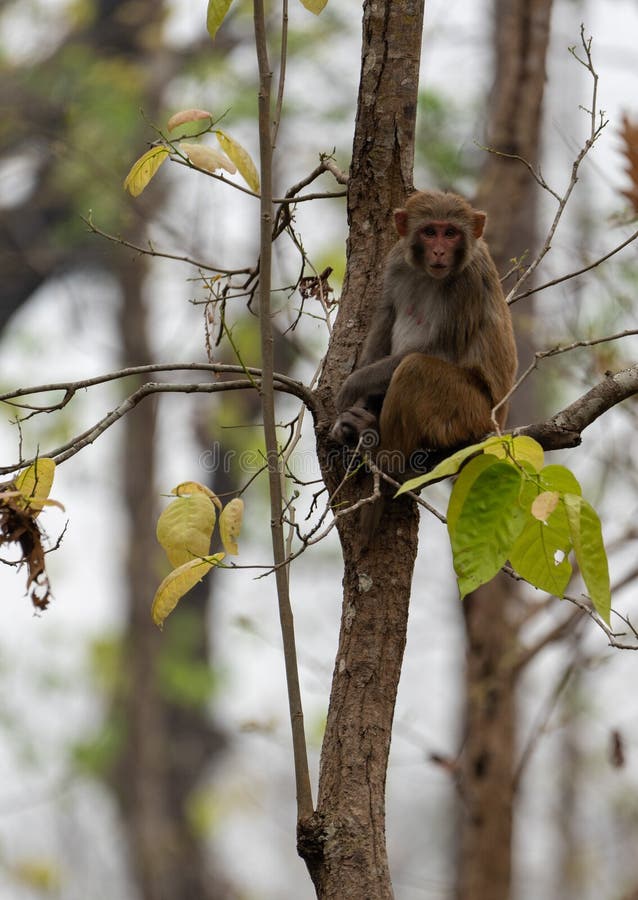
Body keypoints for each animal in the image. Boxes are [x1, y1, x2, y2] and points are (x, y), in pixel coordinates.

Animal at [332, 189, 517, 475]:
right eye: (430, 232)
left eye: (450, 233)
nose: (439, 251)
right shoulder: (396, 262)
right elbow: (385, 321)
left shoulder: (468, 280)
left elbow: (442, 352)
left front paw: (356, 382)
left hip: (472, 413)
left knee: (415, 368)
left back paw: (386, 456)